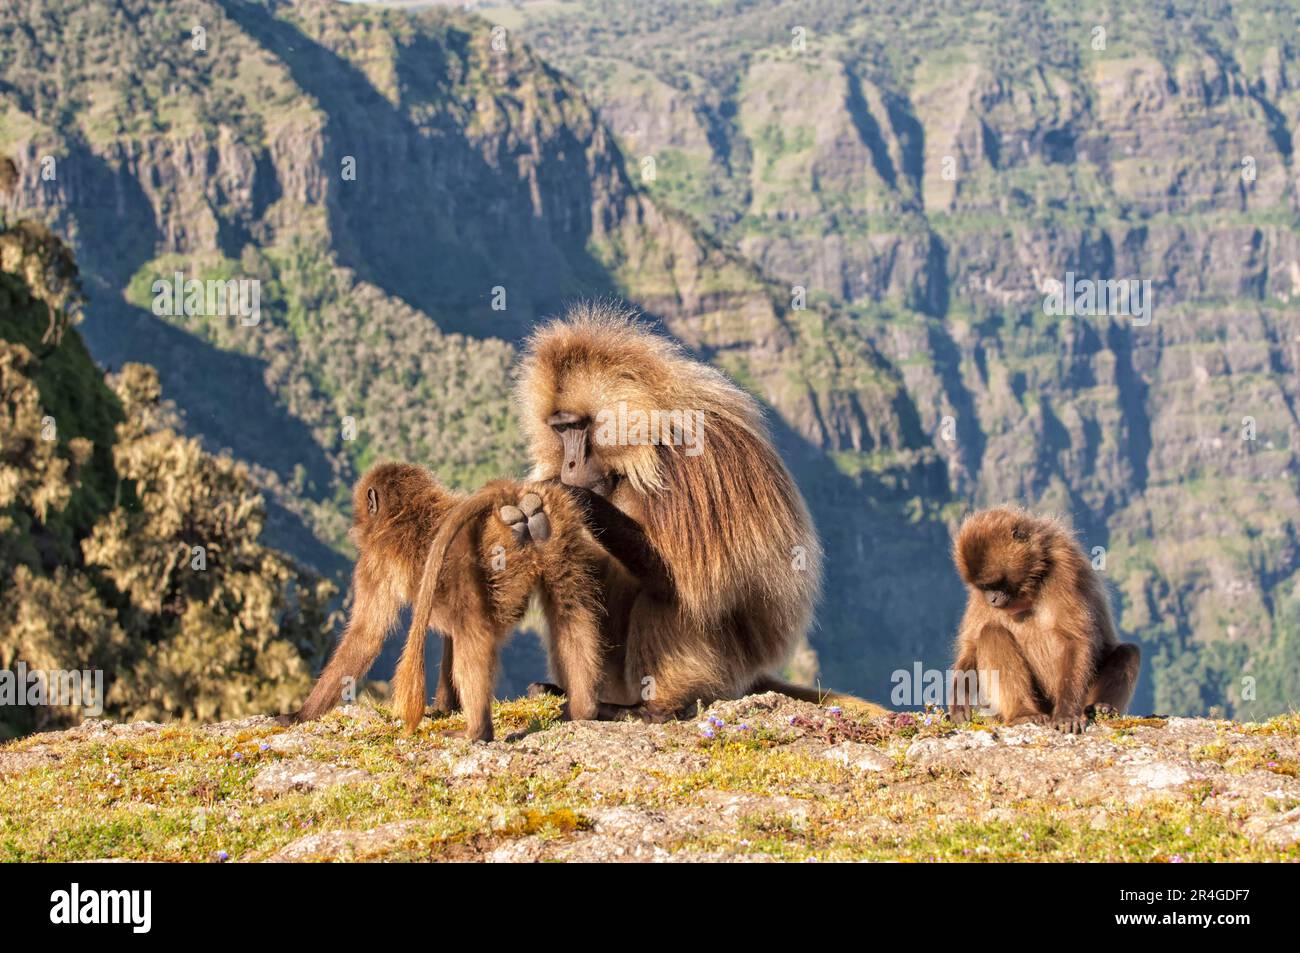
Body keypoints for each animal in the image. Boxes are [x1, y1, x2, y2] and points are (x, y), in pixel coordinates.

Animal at [295, 464, 604, 743]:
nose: (354, 530)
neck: (407, 512)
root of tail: (511, 495)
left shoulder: (374, 560)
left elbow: (366, 635)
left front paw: (298, 716)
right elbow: (447, 639)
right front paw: (444, 708)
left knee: (472, 633)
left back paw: (477, 732)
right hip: (557, 531)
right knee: (570, 611)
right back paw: (582, 710)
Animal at [513, 301, 882, 721]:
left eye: (576, 426)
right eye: (559, 430)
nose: (569, 466)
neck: (645, 444)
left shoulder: (694, 464)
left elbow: (688, 579)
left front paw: (574, 498)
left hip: (725, 668)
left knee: (673, 594)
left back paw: (653, 708)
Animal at [947, 507, 1141, 733]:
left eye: (996, 584)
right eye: (984, 587)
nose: (991, 600)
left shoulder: (1064, 569)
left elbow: (1074, 637)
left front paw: (1066, 714)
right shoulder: (978, 596)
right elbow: (971, 646)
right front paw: (959, 703)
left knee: (1128, 652)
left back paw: (1102, 707)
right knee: (991, 632)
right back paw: (1022, 712)